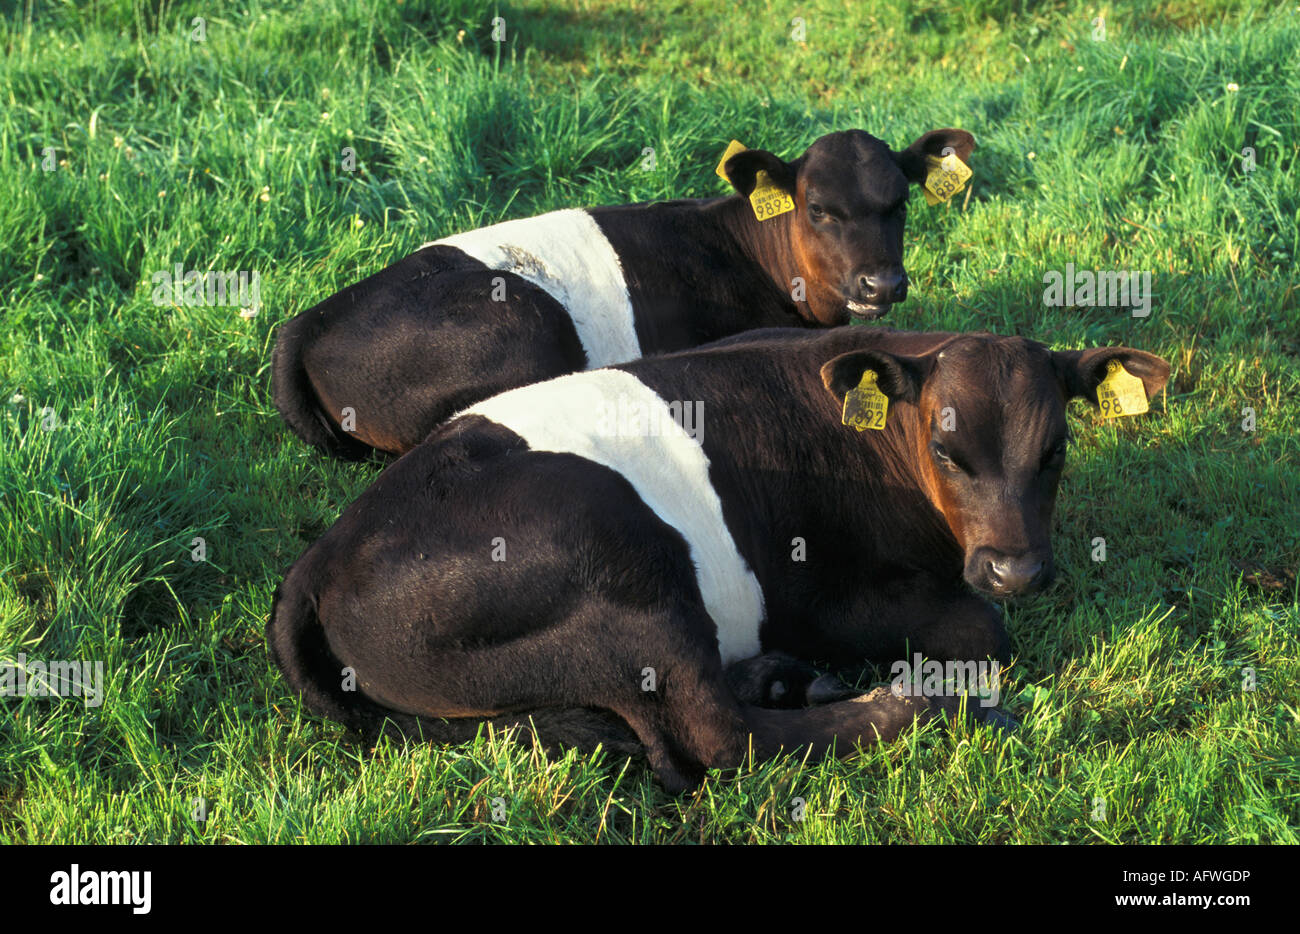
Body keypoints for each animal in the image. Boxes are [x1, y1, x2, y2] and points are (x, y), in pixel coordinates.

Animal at [267, 326, 1170, 792]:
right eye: (948, 452)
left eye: (1055, 451)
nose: (1015, 569)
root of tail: (320, 559)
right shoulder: (824, 597)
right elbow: (982, 627)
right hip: (627, 565)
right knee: (716, 733)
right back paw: (926, 704)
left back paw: (782, 678)